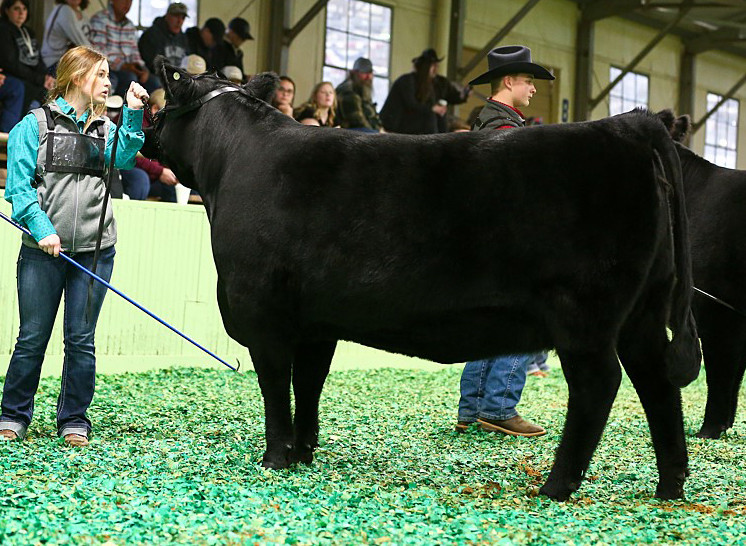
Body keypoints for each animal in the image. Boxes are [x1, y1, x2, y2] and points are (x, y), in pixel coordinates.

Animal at [143, 58, 701, 501]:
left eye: (160, 106)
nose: (143, 133)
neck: (233, 166)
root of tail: (632, 125)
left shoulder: (263, 315)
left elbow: (277, 388)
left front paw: (275, 459)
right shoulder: (316, 323)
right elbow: (310, 385)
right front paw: (304, 453)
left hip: (585, 314)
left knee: (598, 385)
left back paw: (557, 486)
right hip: (643, 312)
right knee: (656, 383)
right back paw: (669, 485)